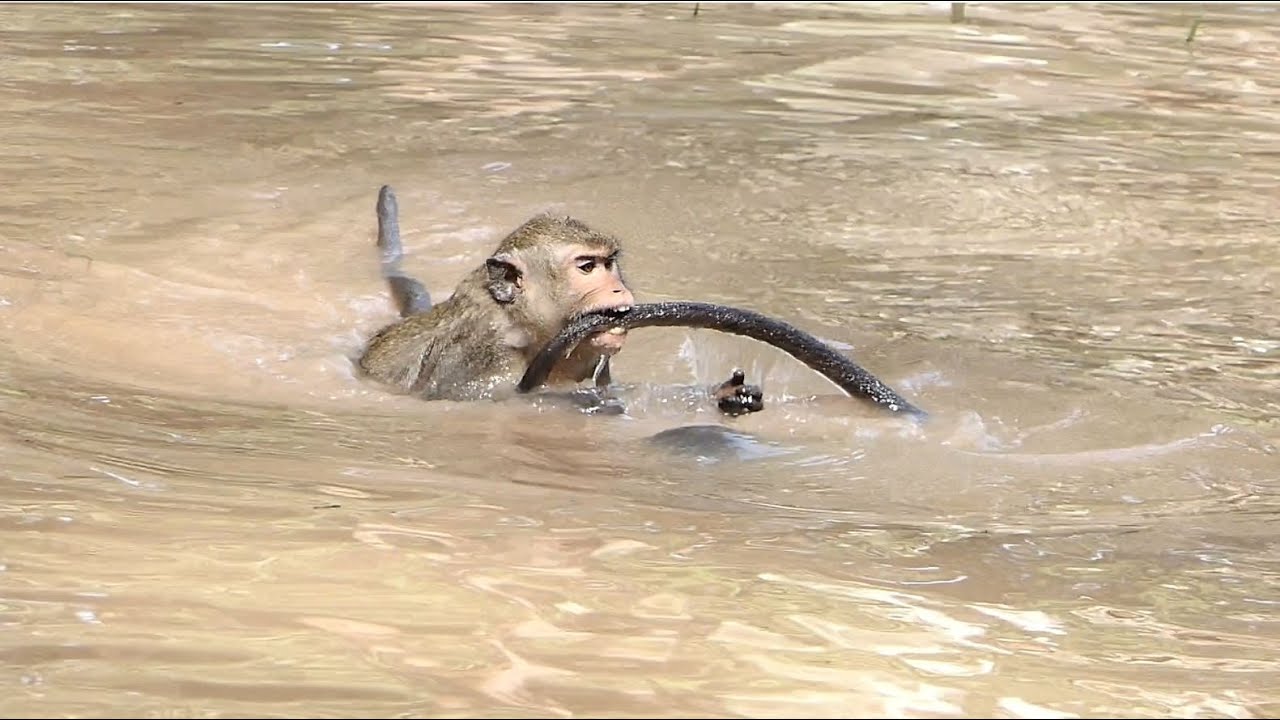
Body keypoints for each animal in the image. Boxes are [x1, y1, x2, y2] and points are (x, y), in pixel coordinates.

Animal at [357, 186, 763, 416]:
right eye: (587, 267)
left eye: (609, 263)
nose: (618, 288)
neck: (523, 324)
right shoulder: (480, 349)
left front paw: (726, 393)